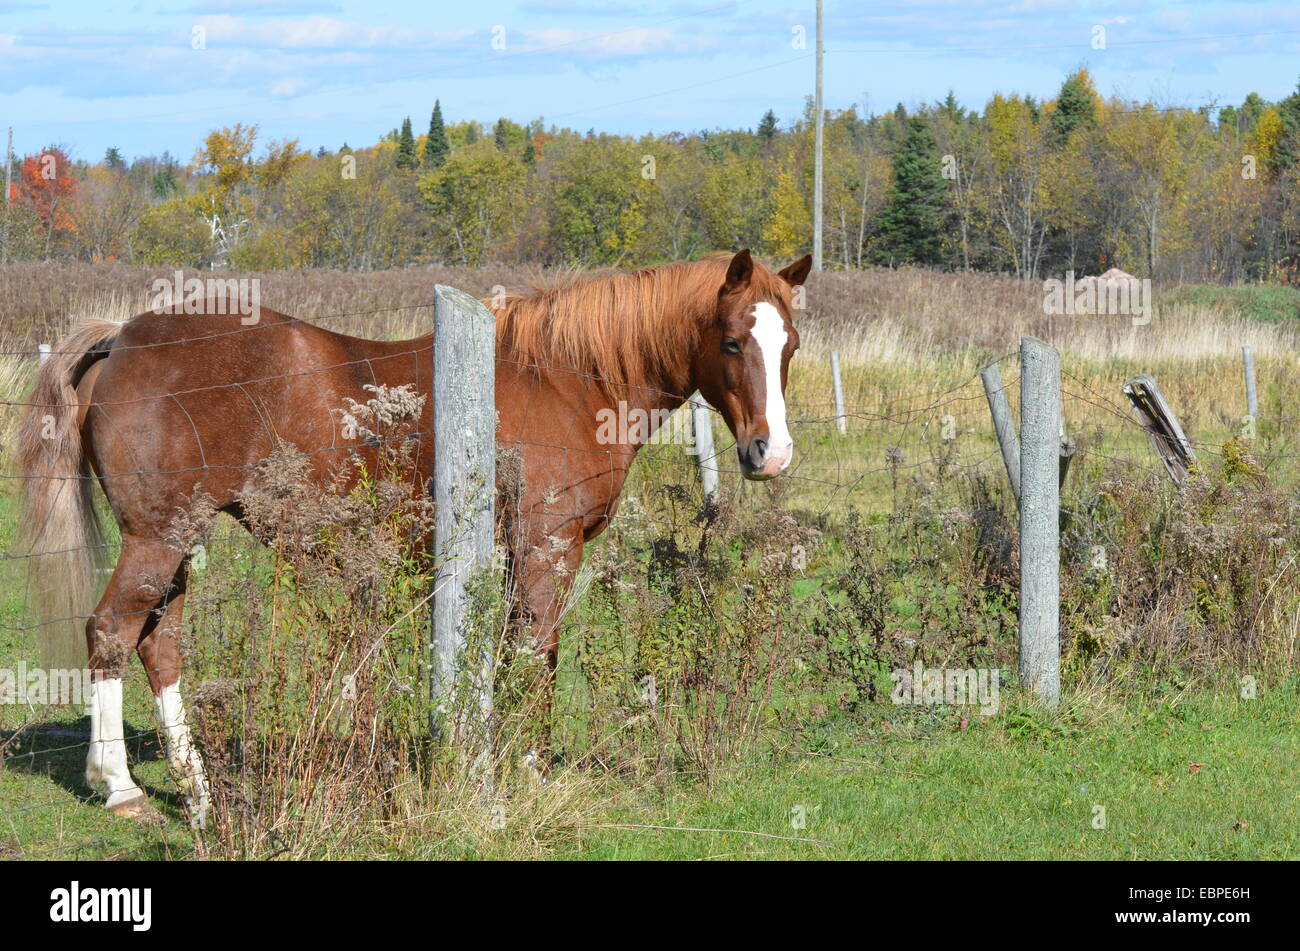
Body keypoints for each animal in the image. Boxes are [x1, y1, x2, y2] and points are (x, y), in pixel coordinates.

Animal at [18, 248, 810, 824]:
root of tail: (122, 337)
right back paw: (122, 787)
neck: (568, 379)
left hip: (178, 540)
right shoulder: (548, 547)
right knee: (111, 632)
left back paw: (200, 793)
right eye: (733, 341)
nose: (771, 454)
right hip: (158, 537)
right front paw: (527, 770)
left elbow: (513, 655)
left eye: (790, 345)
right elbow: (537, 654)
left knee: (160, 643)